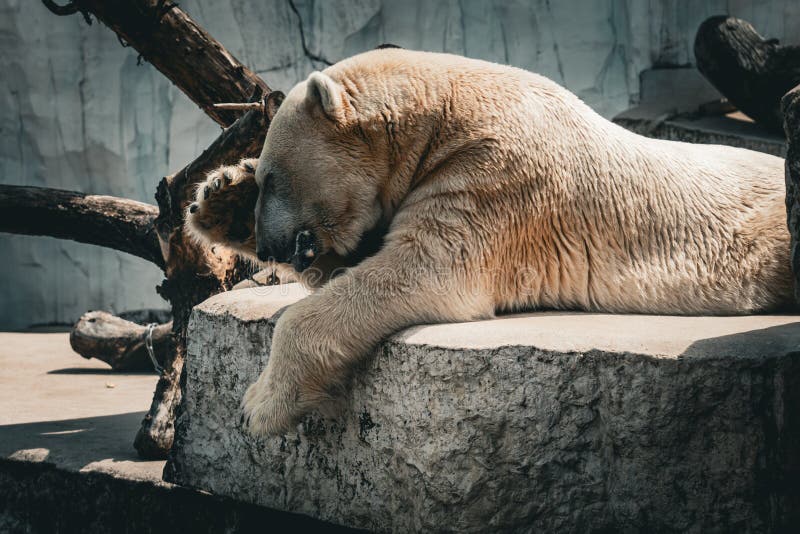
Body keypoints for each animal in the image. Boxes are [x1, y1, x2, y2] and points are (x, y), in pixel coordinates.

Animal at [185, 48, 793, 437]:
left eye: (276, 178)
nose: (272, 247)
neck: (440, 113)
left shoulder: (494, 172)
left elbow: (419, 269)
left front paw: (258, 406)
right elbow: (352, 259)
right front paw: (219, 196)